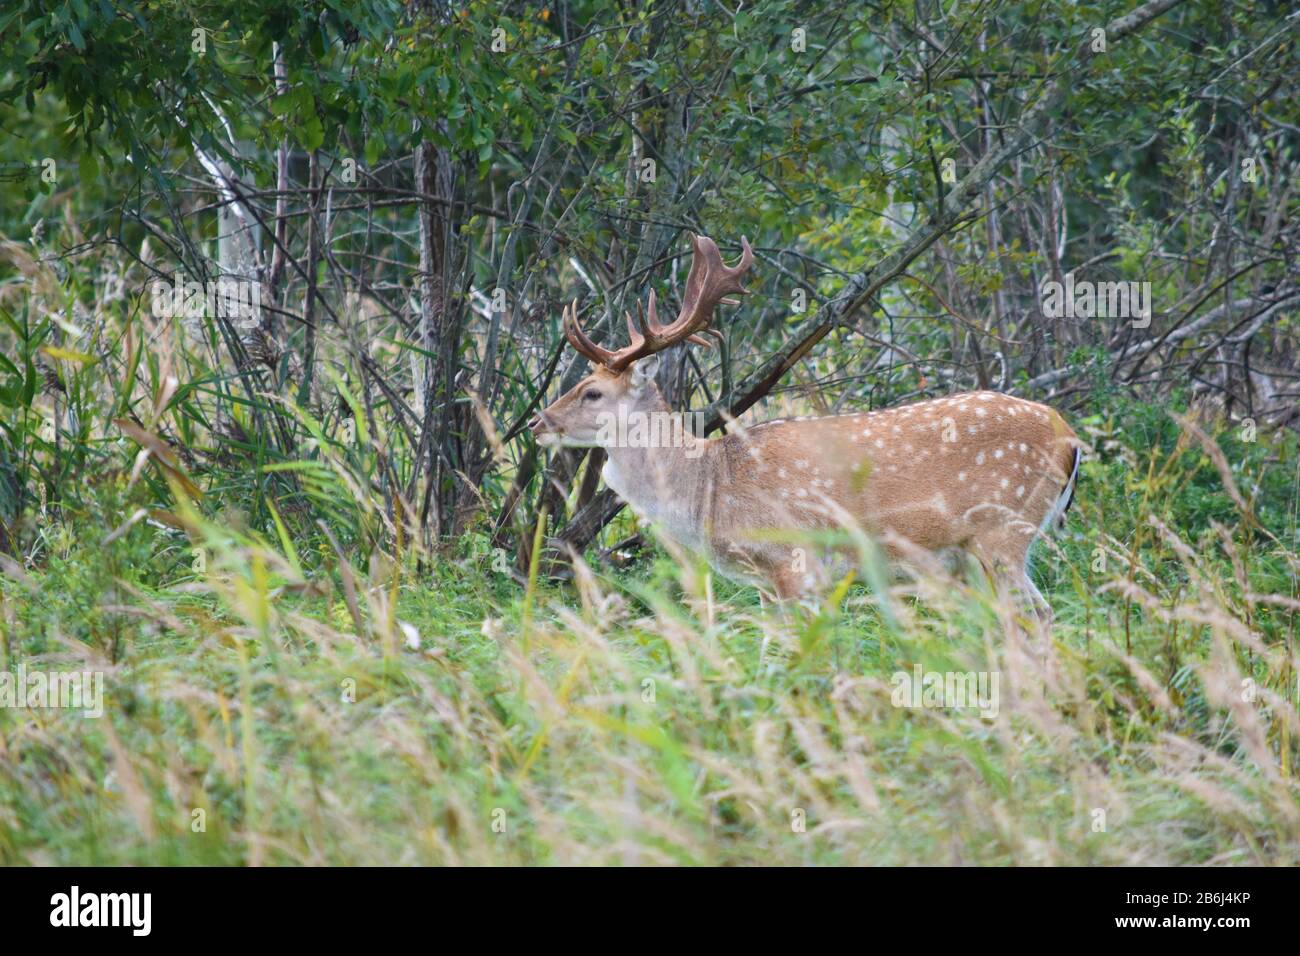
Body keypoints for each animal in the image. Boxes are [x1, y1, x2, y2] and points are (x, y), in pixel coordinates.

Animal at [529, 234, 1081, 618]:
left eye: (592, 391)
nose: (537, 422)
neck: (708, 490)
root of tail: (1070, 435)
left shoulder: (793, 559)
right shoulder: (766, 581)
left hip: (1002, 530)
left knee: (1036, 614)